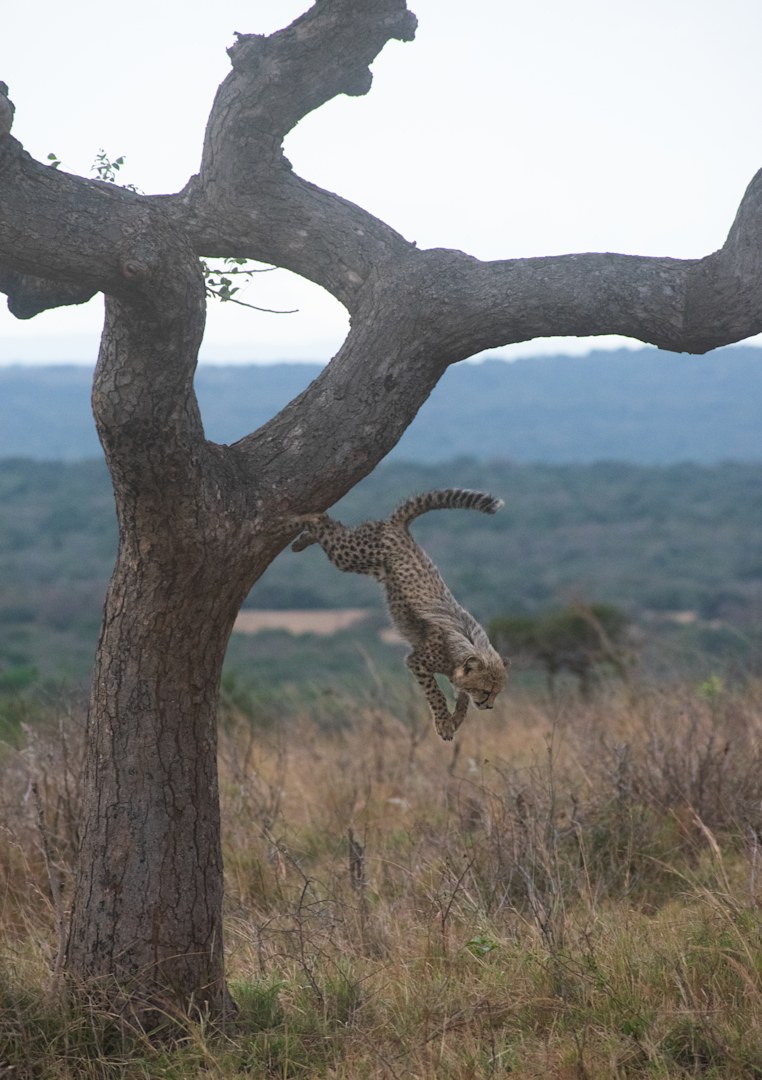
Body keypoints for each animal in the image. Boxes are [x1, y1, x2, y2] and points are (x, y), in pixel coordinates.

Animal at [291, 488, 509, 740]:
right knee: (324, 521)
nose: (488, 706)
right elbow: (435, 693)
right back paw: (301, 519)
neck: (467, 646)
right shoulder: (417, 661)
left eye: (497, 692)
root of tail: (398, 528)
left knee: (334, 528)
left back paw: (301, 540)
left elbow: (461, 694)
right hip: (351, 554)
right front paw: (444, 722)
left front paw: (456, 718)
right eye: (486, 690)